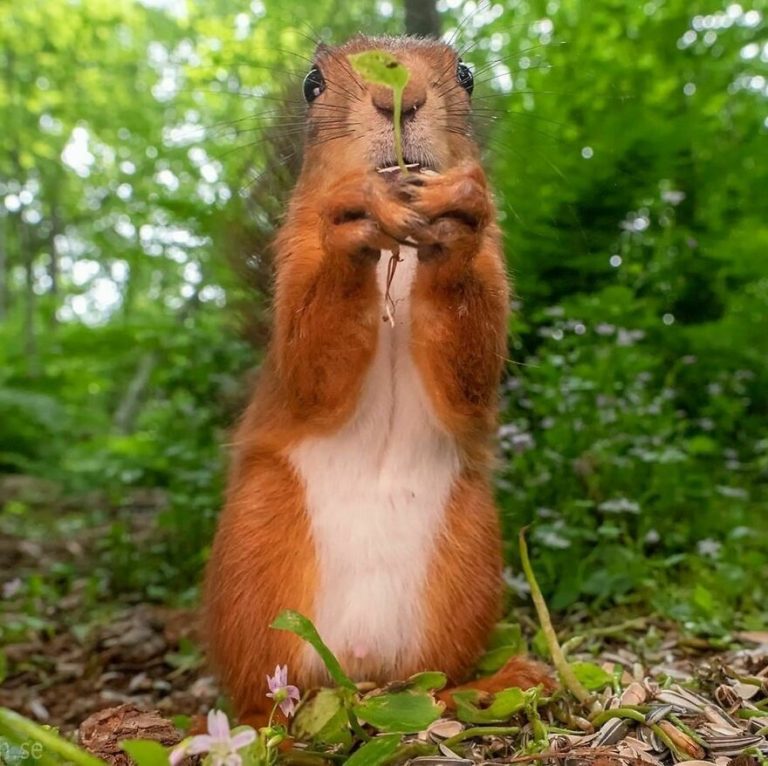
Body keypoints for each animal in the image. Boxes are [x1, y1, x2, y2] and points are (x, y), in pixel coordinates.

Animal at [203, 34, 553, 724]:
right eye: (312, 83)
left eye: (466, 74)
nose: (399, 95)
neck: (404, 246)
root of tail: (356, 674)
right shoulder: (295, 259)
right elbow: (312, 372)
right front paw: (354, 215)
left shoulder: (494, 270)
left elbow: (468, 376)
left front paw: (459, 212)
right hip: (253, 568)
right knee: (263, 698)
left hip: (468, 562)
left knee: (432, 683)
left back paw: (493, 683)